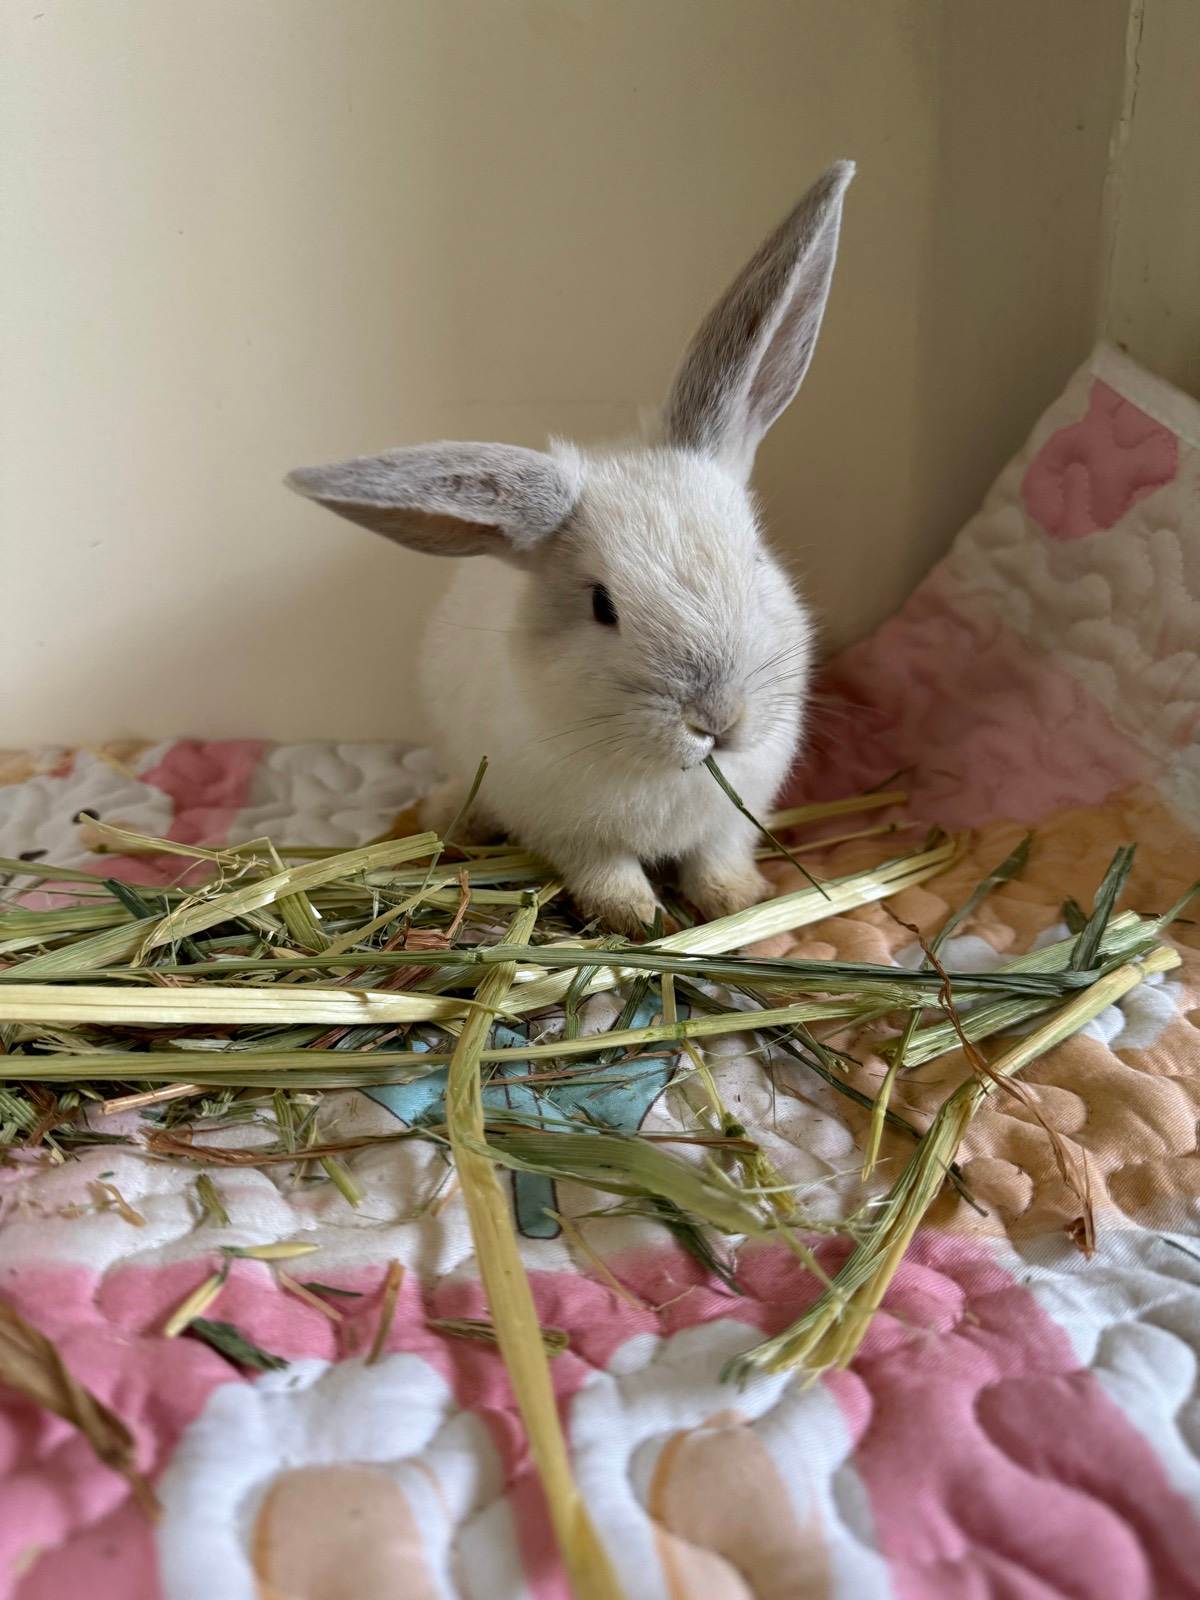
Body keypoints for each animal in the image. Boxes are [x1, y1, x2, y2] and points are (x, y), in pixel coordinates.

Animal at [288, 161, 853, 936]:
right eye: (602, 607)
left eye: (756, 559)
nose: (715, 720)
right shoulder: (573, 832)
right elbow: (607, 873)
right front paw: (635, 918)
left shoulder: (732, 822)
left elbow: (718, 859)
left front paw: (738, 902)